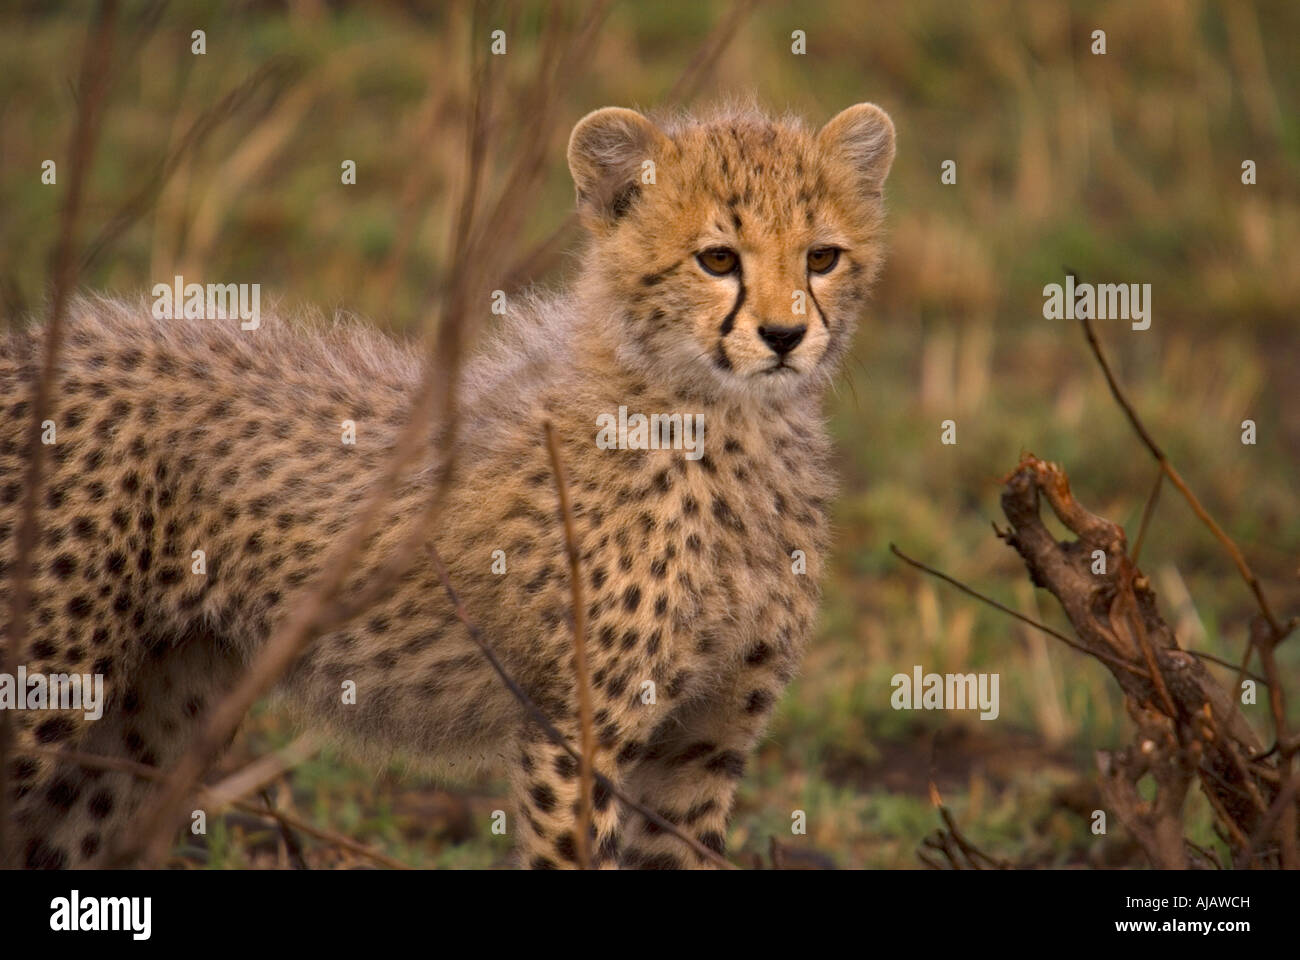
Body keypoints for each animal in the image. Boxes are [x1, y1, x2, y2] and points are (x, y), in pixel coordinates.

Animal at [0, 100, 895, 869]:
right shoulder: (582, 733)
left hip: (149, 704)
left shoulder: (702, 744)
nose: (784, 335)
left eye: (821, 257)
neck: (727, 428)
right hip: (45, 676)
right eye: (718, 259)